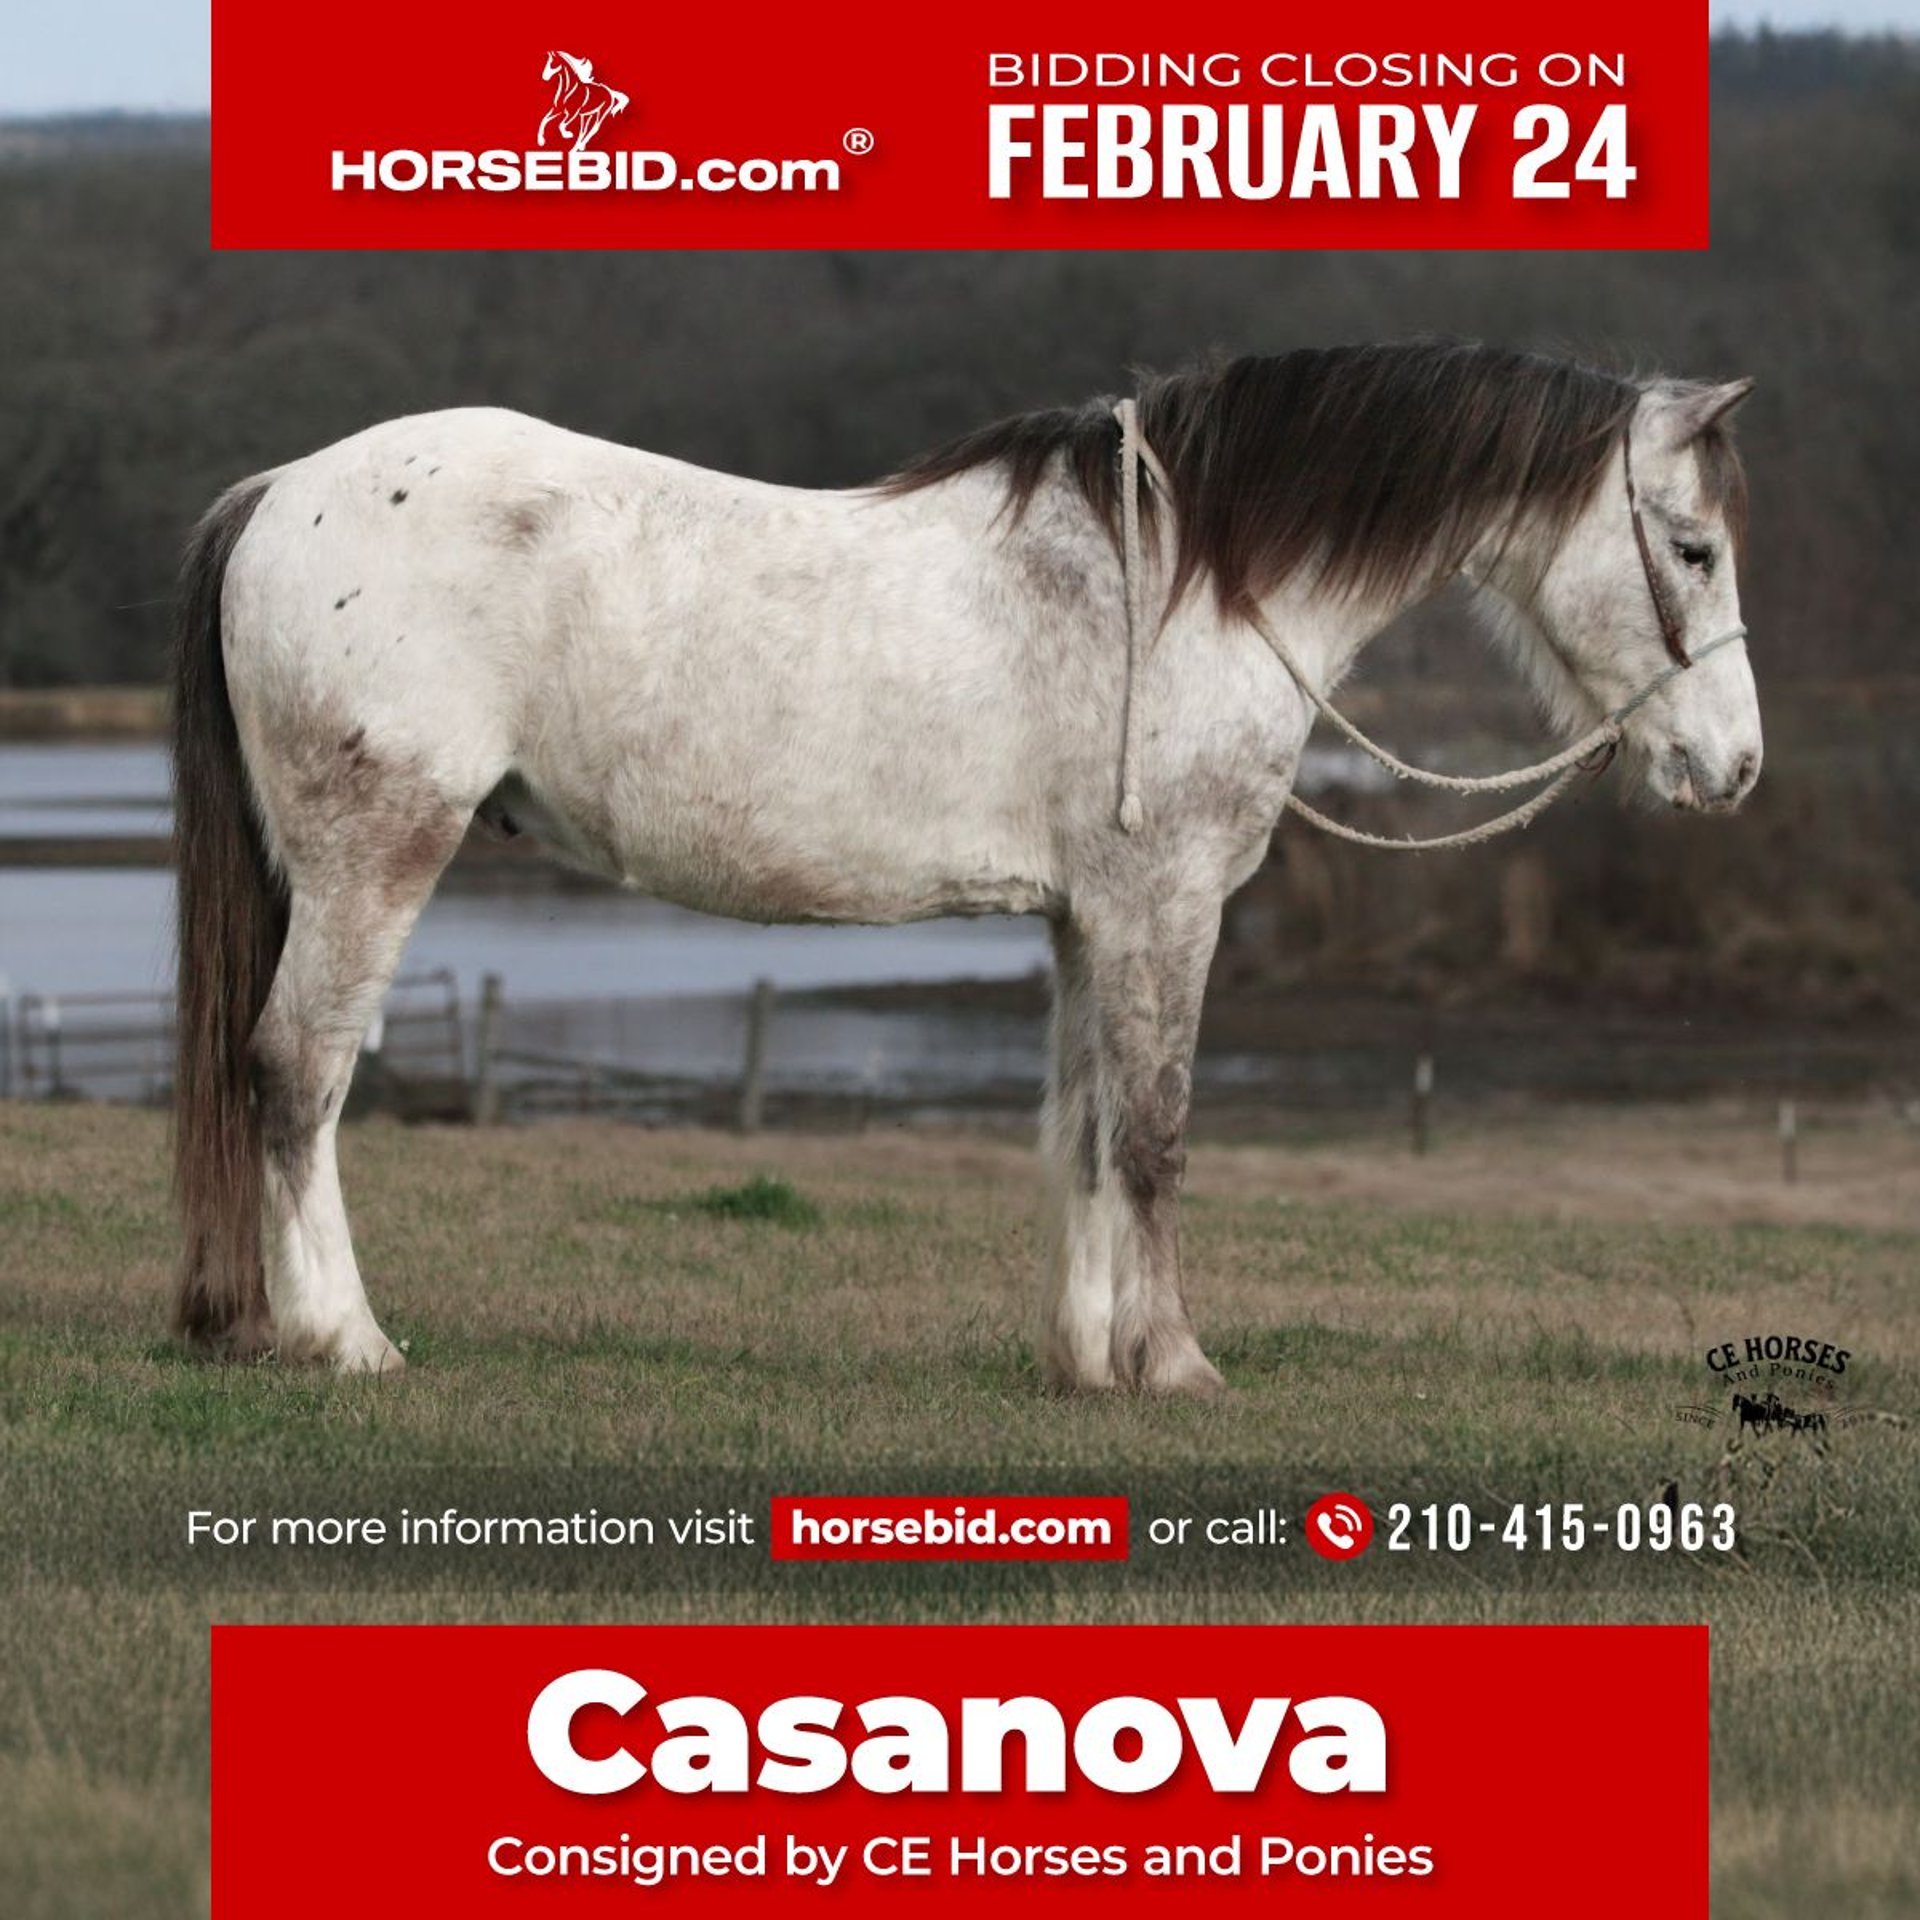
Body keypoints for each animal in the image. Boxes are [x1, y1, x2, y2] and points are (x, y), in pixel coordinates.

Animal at [167, 340, 1760, 1387]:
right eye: (1690, 548)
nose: (1733, 767)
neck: (1183, 582)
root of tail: (278, 492)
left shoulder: (1086, 922)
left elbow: (1086, 1130)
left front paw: (1089, 1360)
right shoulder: (1168, 909)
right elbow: (1158, 1132)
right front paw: (1175, 1363)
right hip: (378, 854)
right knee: (296, 1073)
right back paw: (346, 1341)